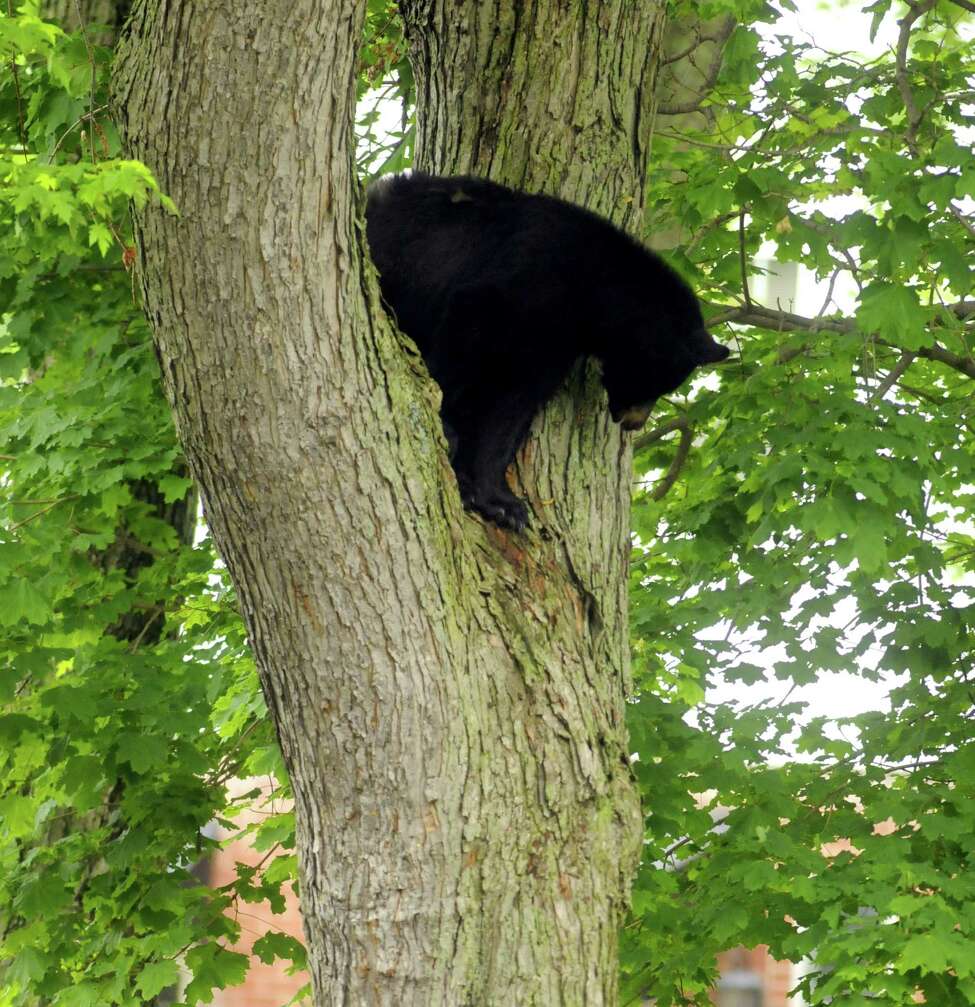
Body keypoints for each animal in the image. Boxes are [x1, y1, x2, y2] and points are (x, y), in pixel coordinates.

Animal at [365, 172, 729, 531]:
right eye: (654, 380)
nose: (633, 422)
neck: (593, 292)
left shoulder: (551, 346)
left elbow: (509, 411)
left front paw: (501, 502)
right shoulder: (520, 279)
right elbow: (461, 347)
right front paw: (449, 435)